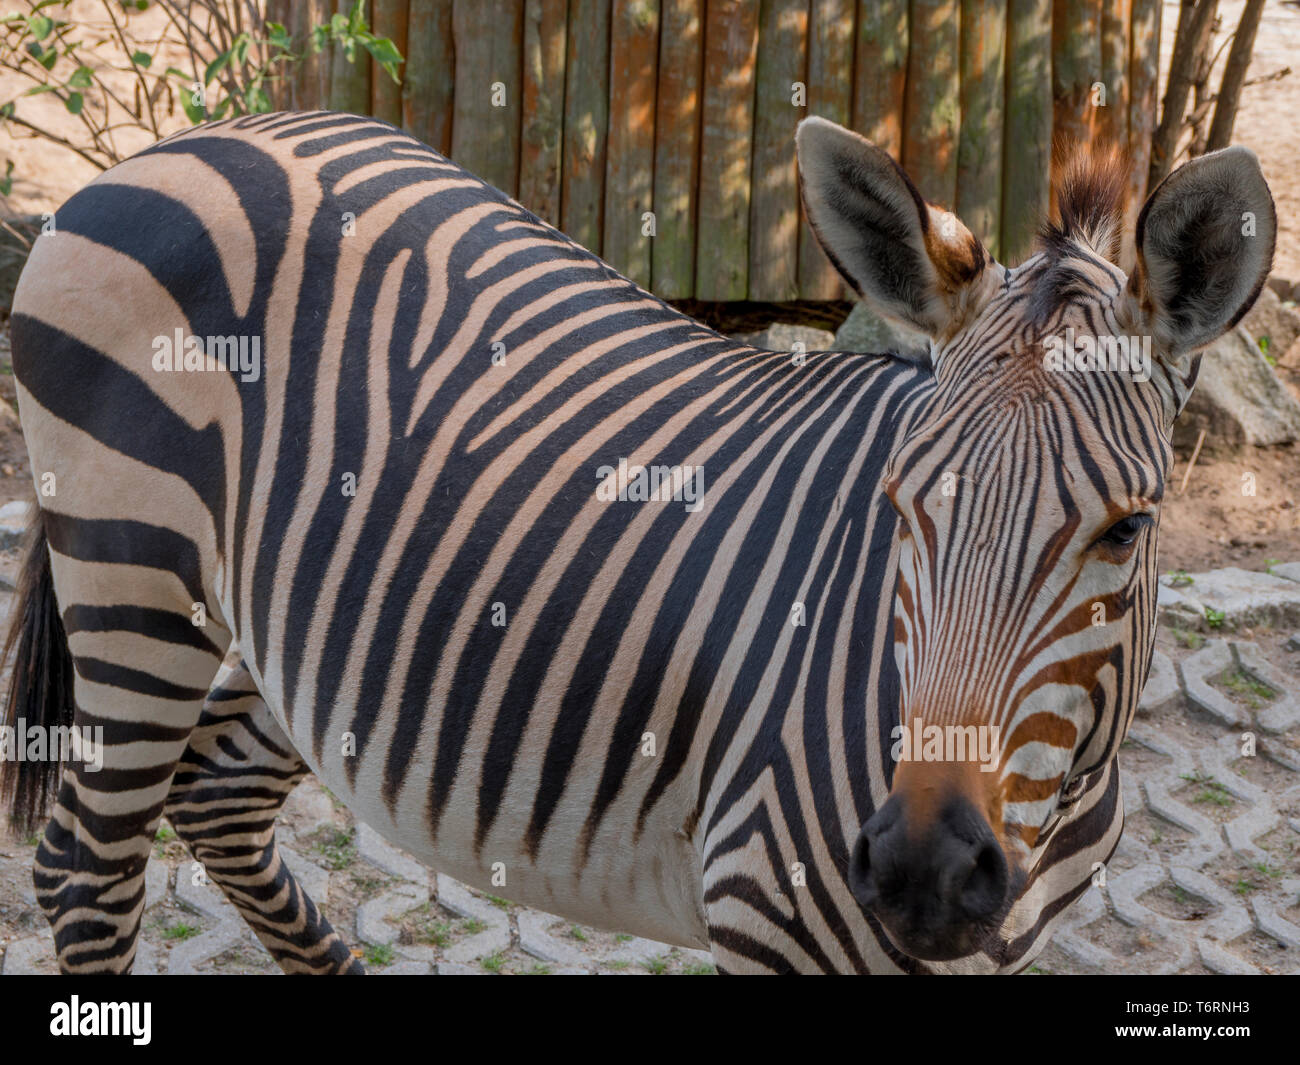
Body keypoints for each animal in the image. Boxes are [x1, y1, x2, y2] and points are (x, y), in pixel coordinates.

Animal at [1, 111, 1273, 974]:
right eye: (901, 505)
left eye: (1128, 527)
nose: (919, 873)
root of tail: (186, 143)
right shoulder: (765, 908)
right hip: (133, 571)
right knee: (85, 866)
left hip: (310, 629)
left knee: (216, 787)